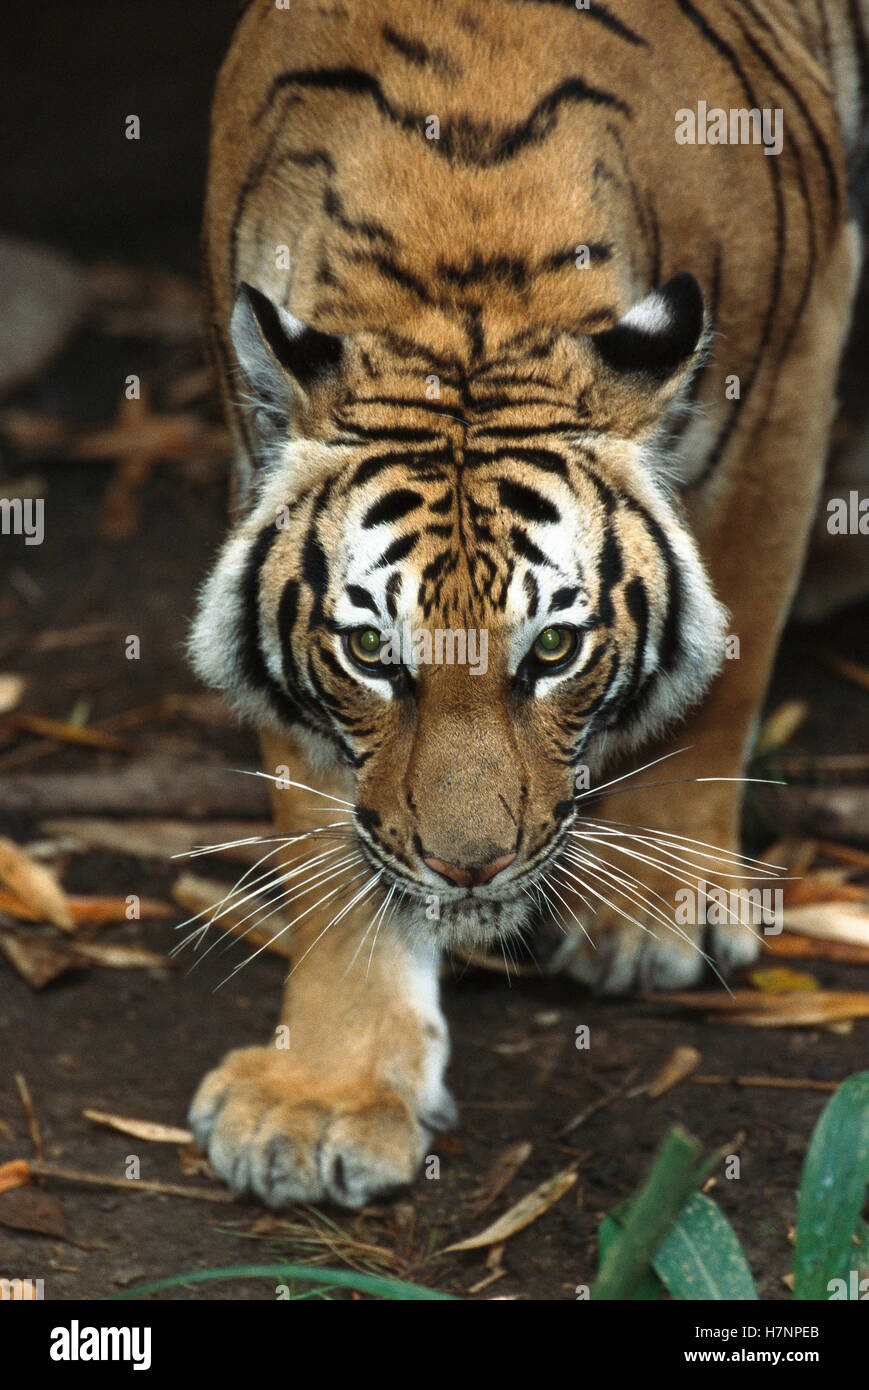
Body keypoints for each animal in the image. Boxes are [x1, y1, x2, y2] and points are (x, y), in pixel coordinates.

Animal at [187, 0, 869, 1208]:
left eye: (552, 648)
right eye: (371, 650)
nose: (471, 866)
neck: (461, 274)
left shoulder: (791, 360)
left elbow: (722, 663)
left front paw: (659, 909)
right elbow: (324, 826)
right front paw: (323, 1095)